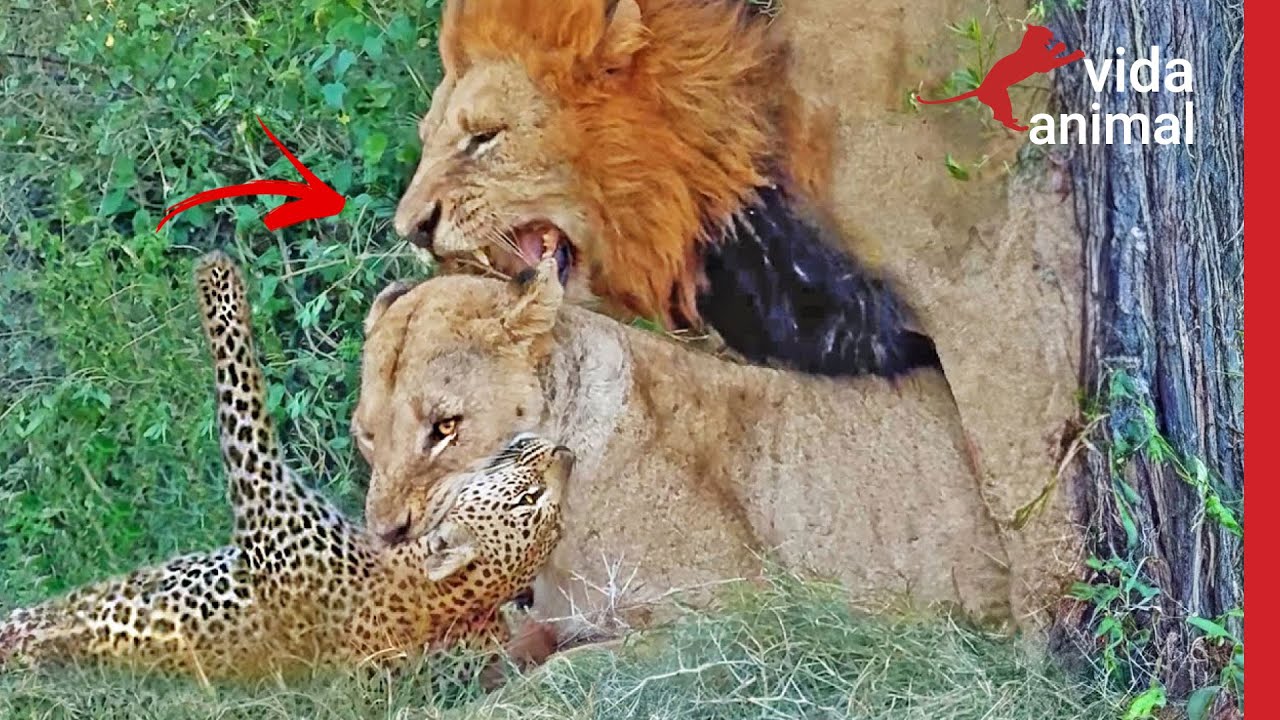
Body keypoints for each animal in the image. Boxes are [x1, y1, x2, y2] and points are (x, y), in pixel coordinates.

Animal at [0, 251, 570, 680]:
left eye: (445, 428)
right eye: (368, 437)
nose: (565, 456)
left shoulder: (263, 494)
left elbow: (239, 385)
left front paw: (218, 276)